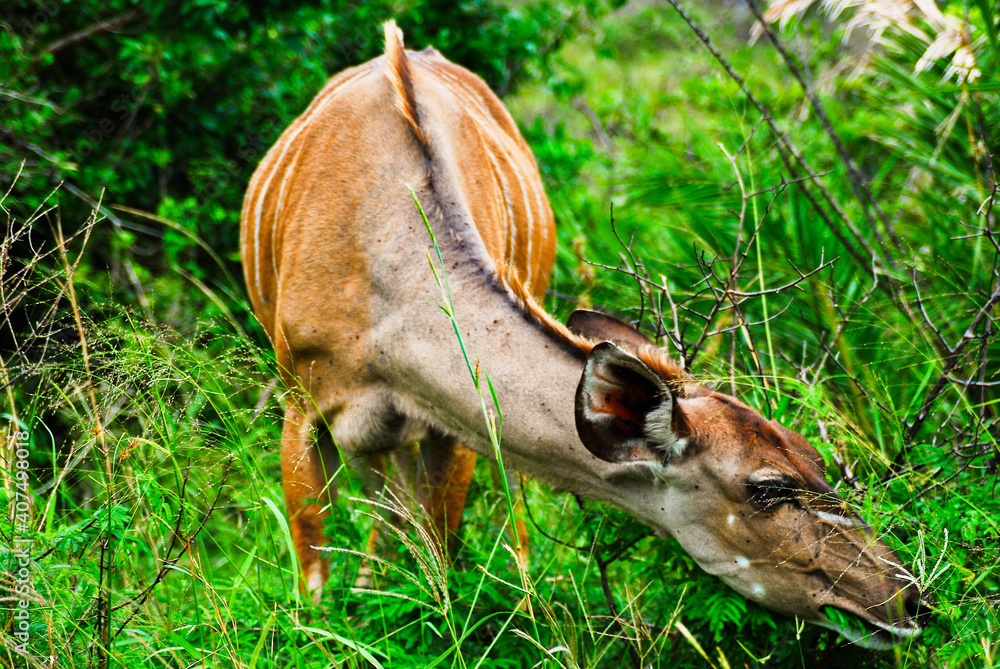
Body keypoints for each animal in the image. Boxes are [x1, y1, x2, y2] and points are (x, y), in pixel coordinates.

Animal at [240, 21, 930, 648]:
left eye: (817, 460)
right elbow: (317, 575)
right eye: (768, 487)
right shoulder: (300, 405)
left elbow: (436, 558)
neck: (386, 288)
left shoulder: (450, 429)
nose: (907, 596)